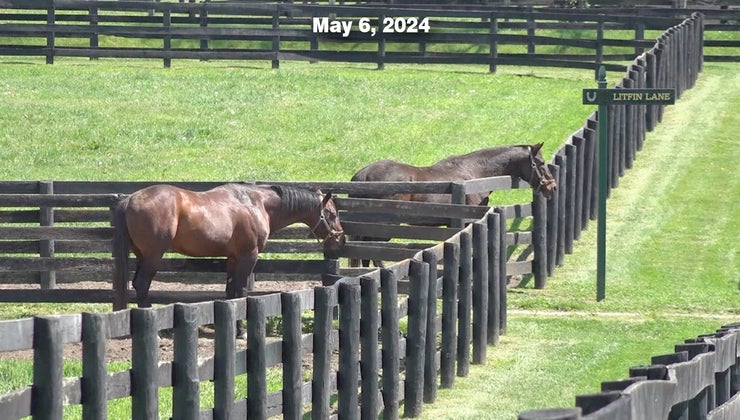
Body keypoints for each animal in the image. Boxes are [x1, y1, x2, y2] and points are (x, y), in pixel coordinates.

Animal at [113, 183, 345, 313]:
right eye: (332, 214)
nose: (340, 240)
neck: (257, 204)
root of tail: (130, 200)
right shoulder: (248, 257)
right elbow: (241, 291)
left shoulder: (233, 258)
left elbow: (230, 292)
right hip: (153, 256)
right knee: (142, 284)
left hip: (142, 255)